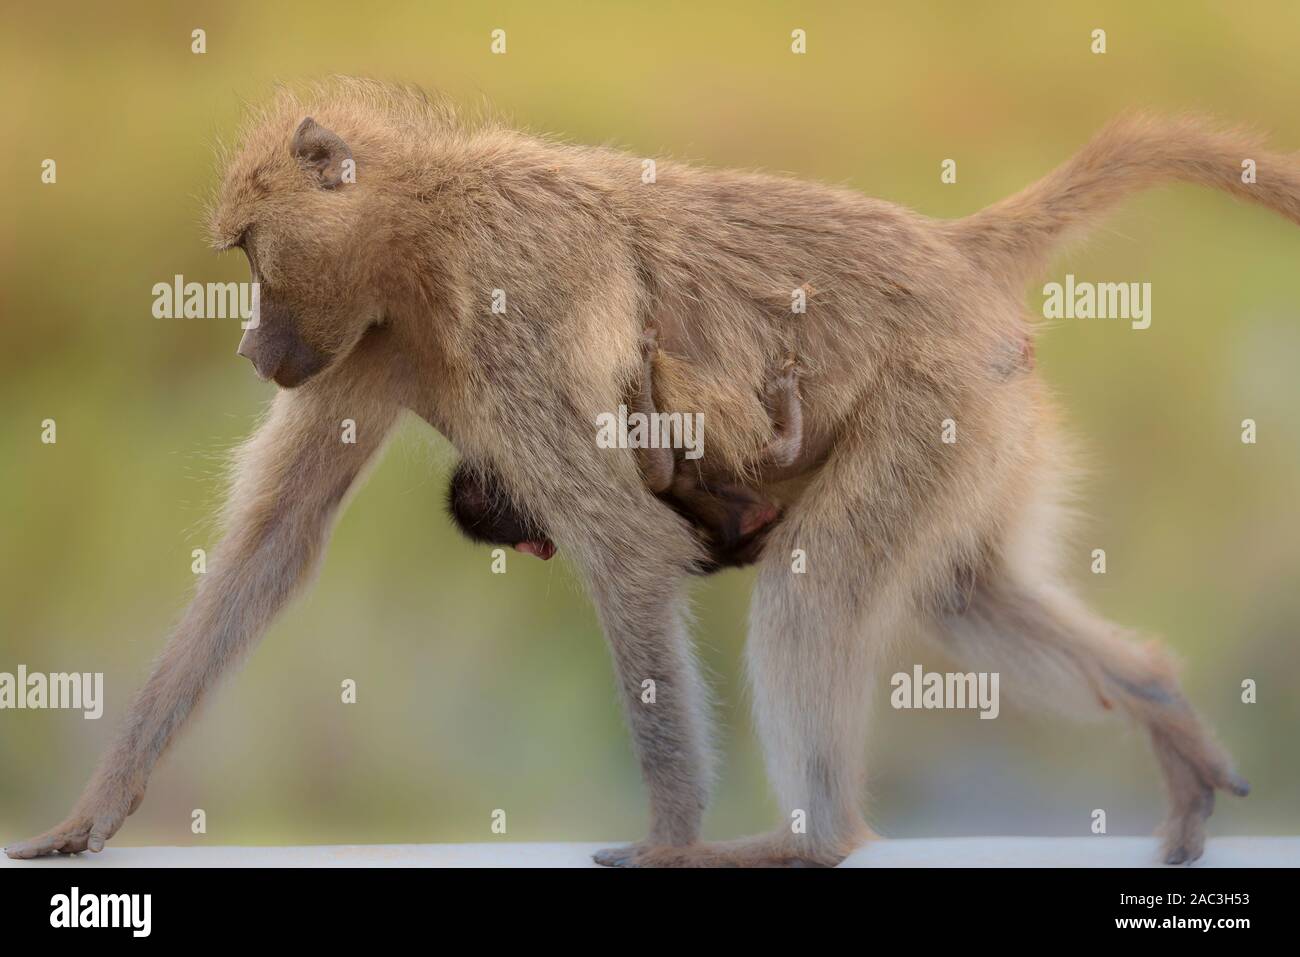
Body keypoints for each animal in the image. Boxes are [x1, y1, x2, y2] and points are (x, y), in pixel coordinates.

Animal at [8, 80, 1294, 867]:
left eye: (245, 250)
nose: (246, 347)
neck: (420, 226)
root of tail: (946, 246)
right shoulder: (366, 343)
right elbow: (268, 552)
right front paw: (90, 815)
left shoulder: (503, 294)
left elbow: (625, 544)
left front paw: (669, 837)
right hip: (985, 416)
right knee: (965, 594)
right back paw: (1159, 707)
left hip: (944, 390)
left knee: (818, 589)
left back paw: (808, 840)